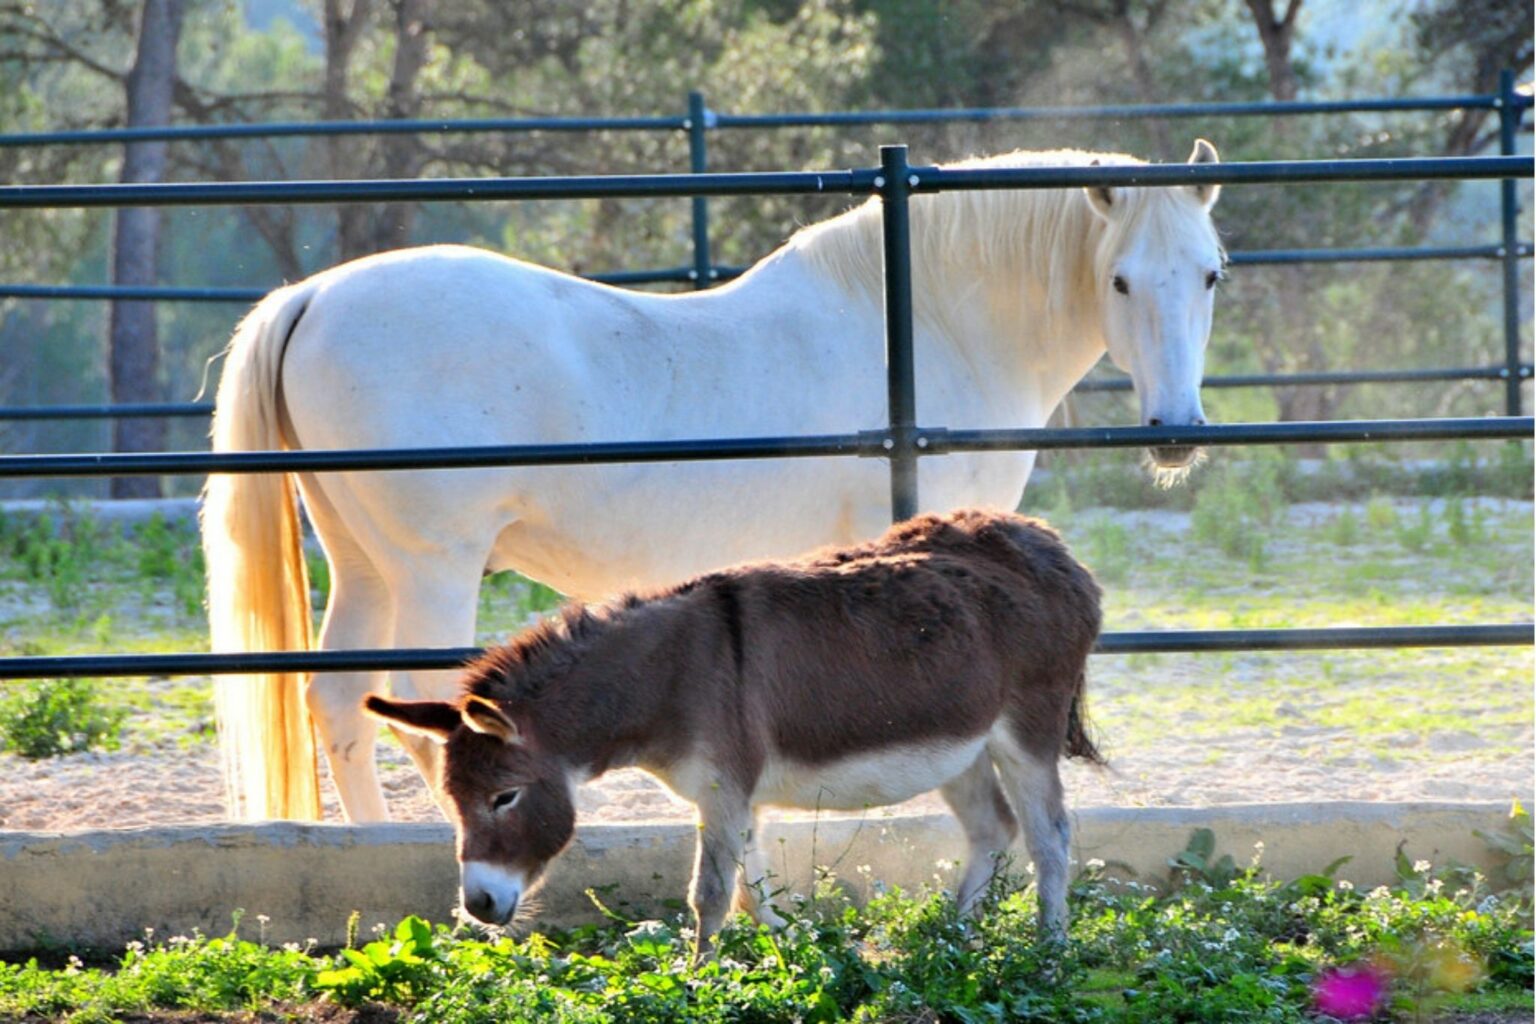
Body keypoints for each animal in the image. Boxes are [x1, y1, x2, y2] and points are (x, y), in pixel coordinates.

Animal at [203, 140, 1223, 822]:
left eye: (1211, 273)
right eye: (1121, 280)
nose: (1176, 434)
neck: (922, 316)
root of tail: (314, 296)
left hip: (363, 565)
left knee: (339, 703)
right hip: (432, 569)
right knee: (422, 714)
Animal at [366, 508, 1104, 942]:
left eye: (505, 797)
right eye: (450, 801)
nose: (478, 907)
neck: (667, 675)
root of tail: (1047, 543)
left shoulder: (723, 786)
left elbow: (712, 893)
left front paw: (697, 982)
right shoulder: (737, 793)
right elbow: (752, 884)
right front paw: (786, 949)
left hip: (1027, 730)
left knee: (1051, 837)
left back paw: (1050, 951)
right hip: (962, 748)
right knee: (993, 829)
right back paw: (948, 941)